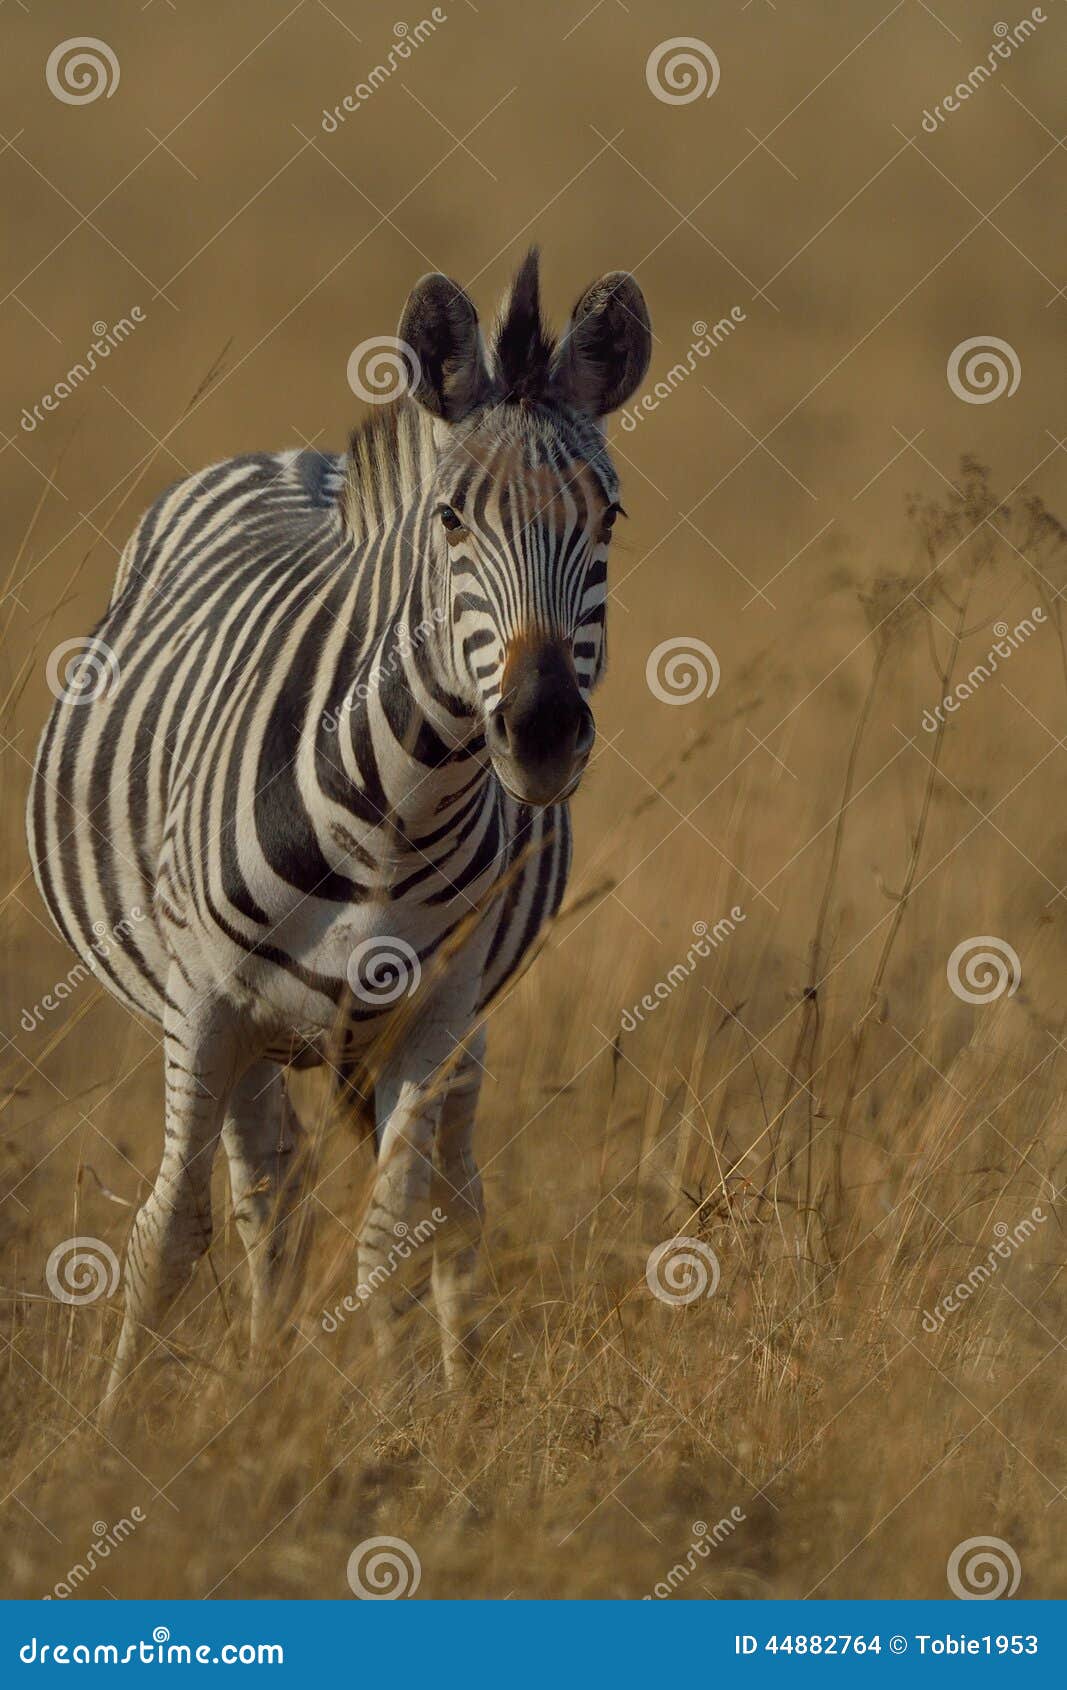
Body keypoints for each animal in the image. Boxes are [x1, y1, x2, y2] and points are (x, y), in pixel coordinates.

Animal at [27, 251, 651, 1402]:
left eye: (610, 519)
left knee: (452, 1203)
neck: (401, 809)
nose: (542, 731)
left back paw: (445, 1392)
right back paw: (261, 1379)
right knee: (265, 1193)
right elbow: (166, 1237)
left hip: (451, 1030)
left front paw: (405, 1420)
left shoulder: (436, 1013)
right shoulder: (203, 1006)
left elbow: (394, 1236)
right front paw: (114, 1429)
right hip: (230, 1026)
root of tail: (295, 459)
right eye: (449, 520)